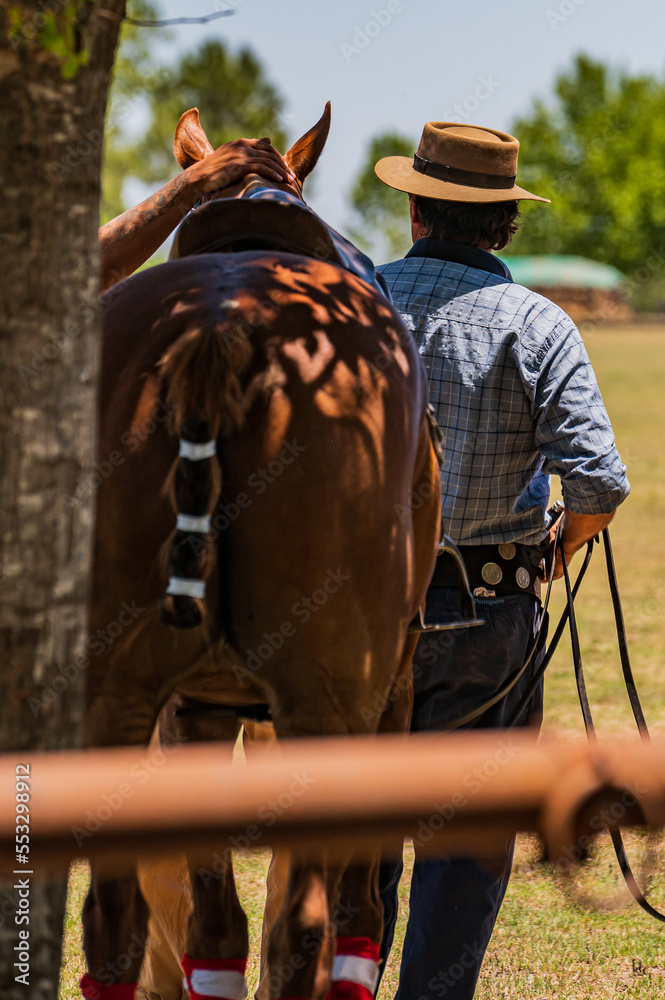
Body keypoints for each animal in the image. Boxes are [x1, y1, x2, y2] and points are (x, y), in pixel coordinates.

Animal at [80, 104, 441, 1000]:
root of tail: (221, 326)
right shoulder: (387, 693)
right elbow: (354, 909)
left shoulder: (193, 707)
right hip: (328, 699)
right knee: (307, 925)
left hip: (118, 698)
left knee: (120, 926)